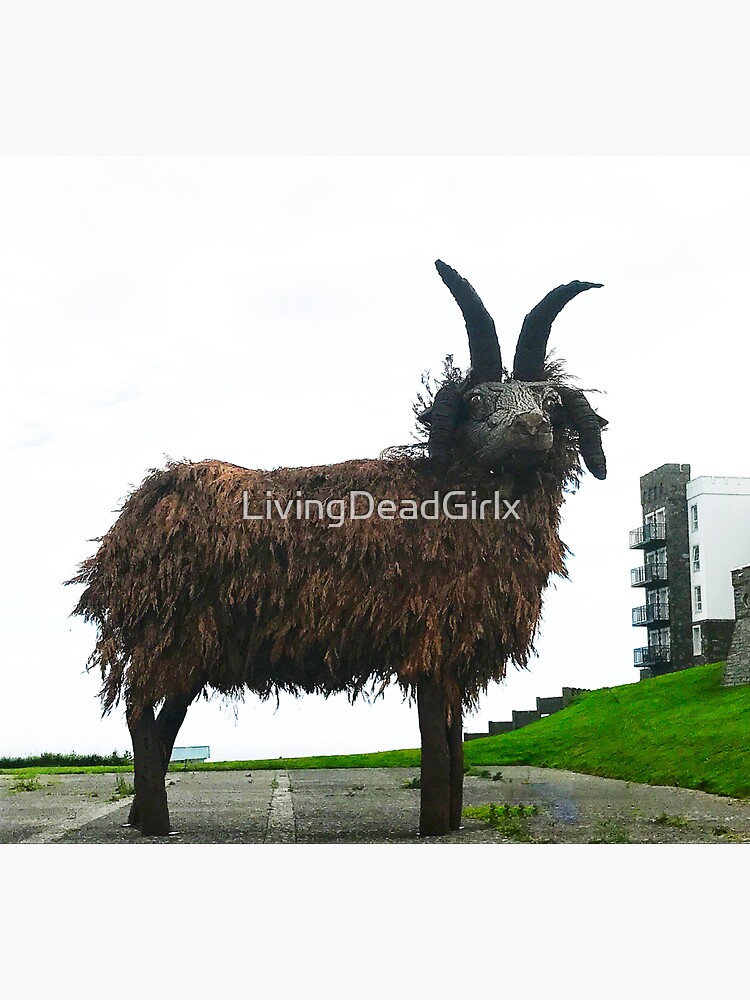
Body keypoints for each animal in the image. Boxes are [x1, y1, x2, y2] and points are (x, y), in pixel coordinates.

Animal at [69, 260, 606, 838]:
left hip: (191, 642)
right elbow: (435, 739)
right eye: (477, 401)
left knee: (162, 722)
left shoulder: (453, 646)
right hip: (169, 629)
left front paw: (452, 819)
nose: (531, 429)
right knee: (138, 714)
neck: (450, 494)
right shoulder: (427, 634)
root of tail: (137, 512)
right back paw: (156, 823)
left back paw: (140, 816)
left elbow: (454, 735)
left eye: (550, 400)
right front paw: (433, 825)